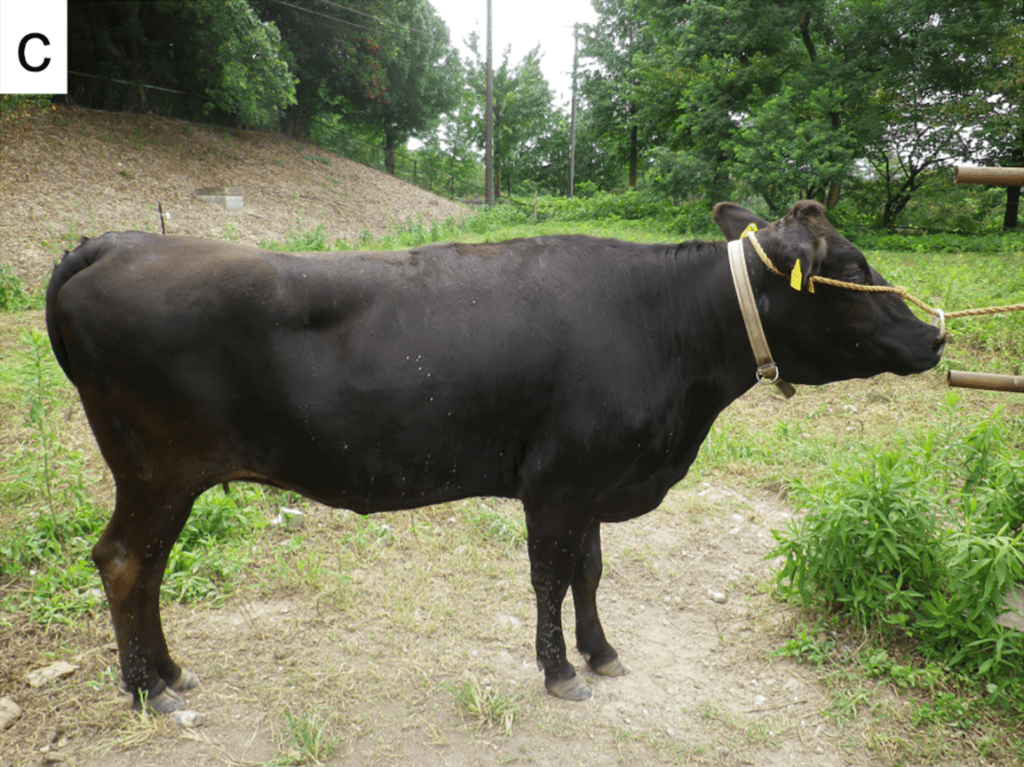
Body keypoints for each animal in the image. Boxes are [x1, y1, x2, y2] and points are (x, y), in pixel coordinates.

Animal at [44, 200, 945, 714]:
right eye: (853, 269)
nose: (936, 335)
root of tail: (114, 242)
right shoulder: (559, 481)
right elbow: (549, 576)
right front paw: (559, 670)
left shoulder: (594, 478)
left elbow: (588, 571)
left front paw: (602, 651)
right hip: (158, 467)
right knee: (125, 560)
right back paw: (148, 689)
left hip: (166, 475)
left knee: (143, 567)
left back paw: (168, 672)